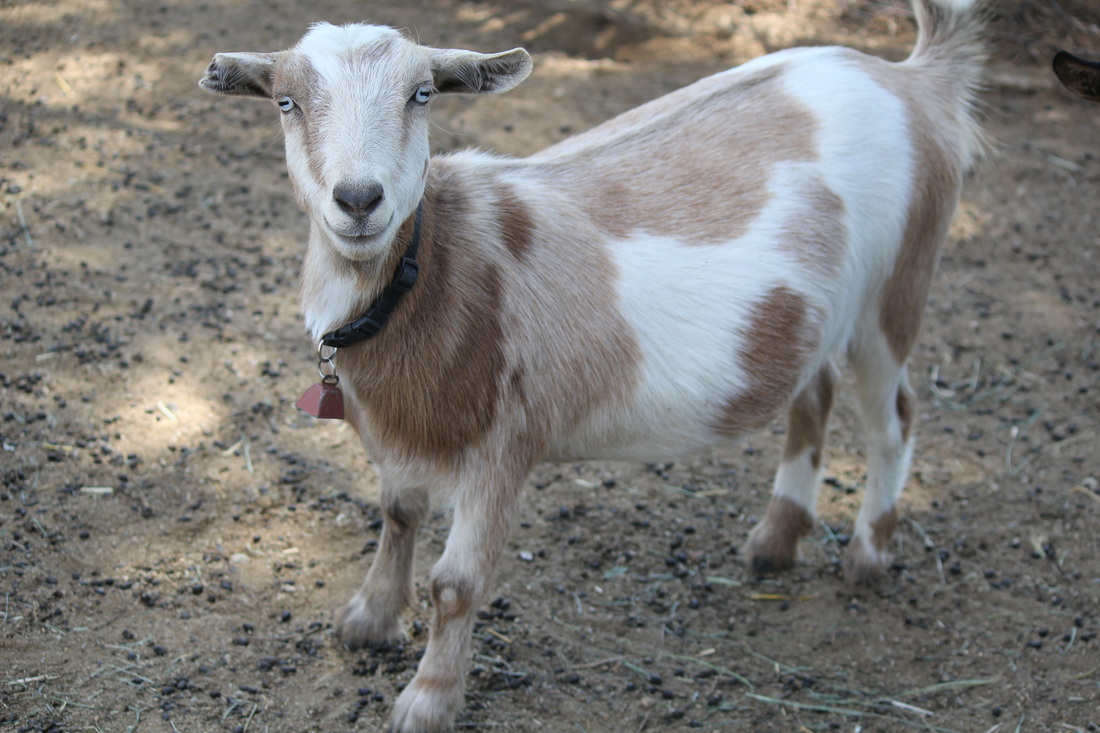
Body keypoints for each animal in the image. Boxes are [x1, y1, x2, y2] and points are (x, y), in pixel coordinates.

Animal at [199, 0, 987, 729]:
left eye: (422, 93)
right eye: (286, 101)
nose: (360, 199)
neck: (446, 264)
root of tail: (913, 78)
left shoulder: (506, 442)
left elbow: (456, 583)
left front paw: (427, 700)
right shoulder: (406, 431)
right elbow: (396, 515)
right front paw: (367, 620)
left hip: (896, 289)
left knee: (894, 417)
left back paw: (868, 555)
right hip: (814, 313)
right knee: (811, 394)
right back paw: (775, 540)